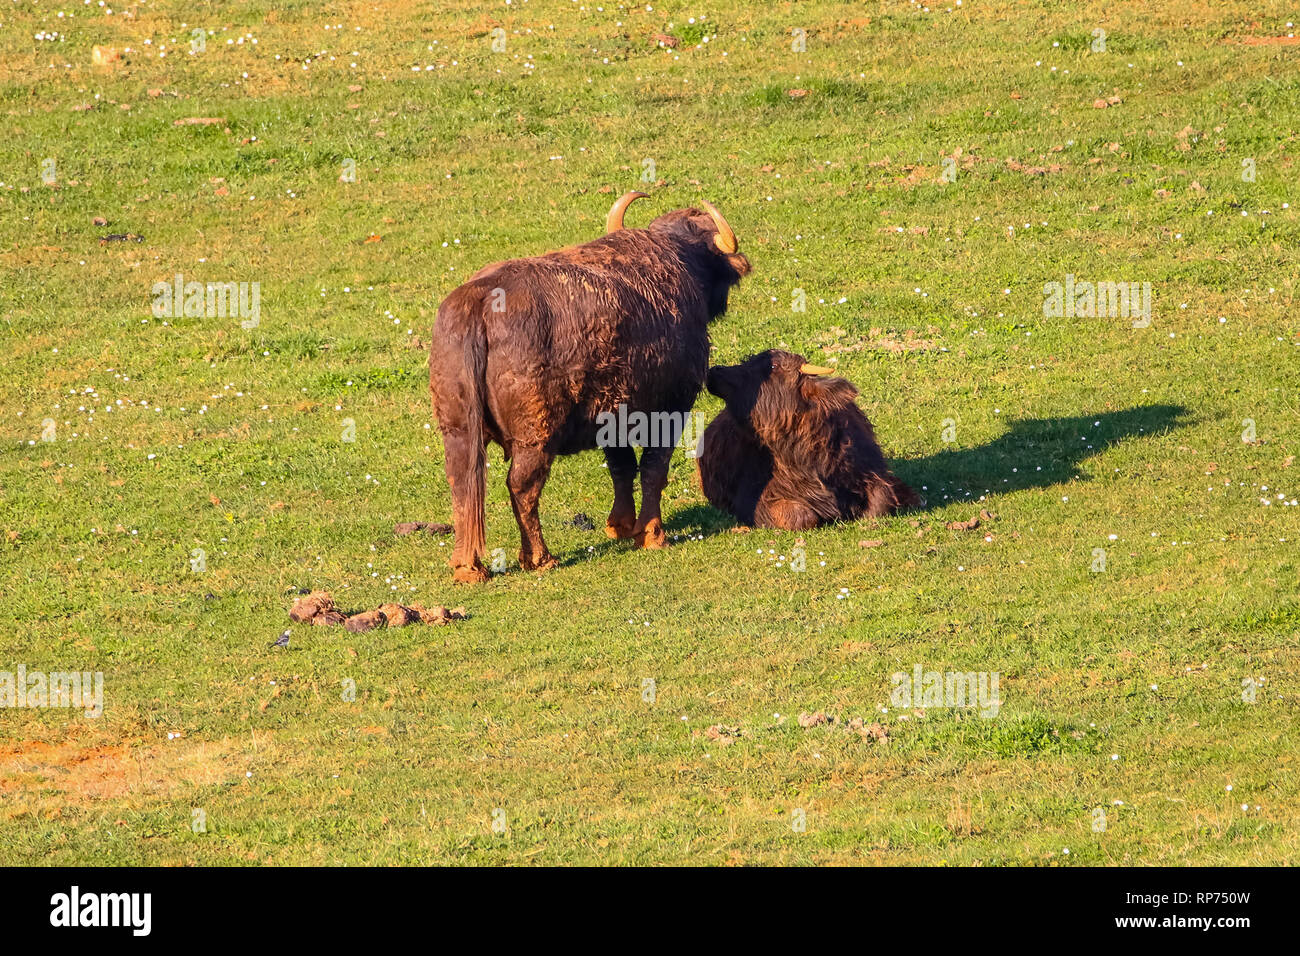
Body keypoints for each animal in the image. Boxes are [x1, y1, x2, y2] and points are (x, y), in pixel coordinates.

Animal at [430, 192, 751, 582]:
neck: (680, 261)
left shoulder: (612, 416)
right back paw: (540, 558)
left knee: (463, 486)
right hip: (535, 440)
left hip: (459, 432)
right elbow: (652, 470)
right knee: (522, 487)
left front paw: (620, 525)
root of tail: (479, 303)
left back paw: (468, 567)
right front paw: (651, 534)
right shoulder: (670, 410)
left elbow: (622, 467)